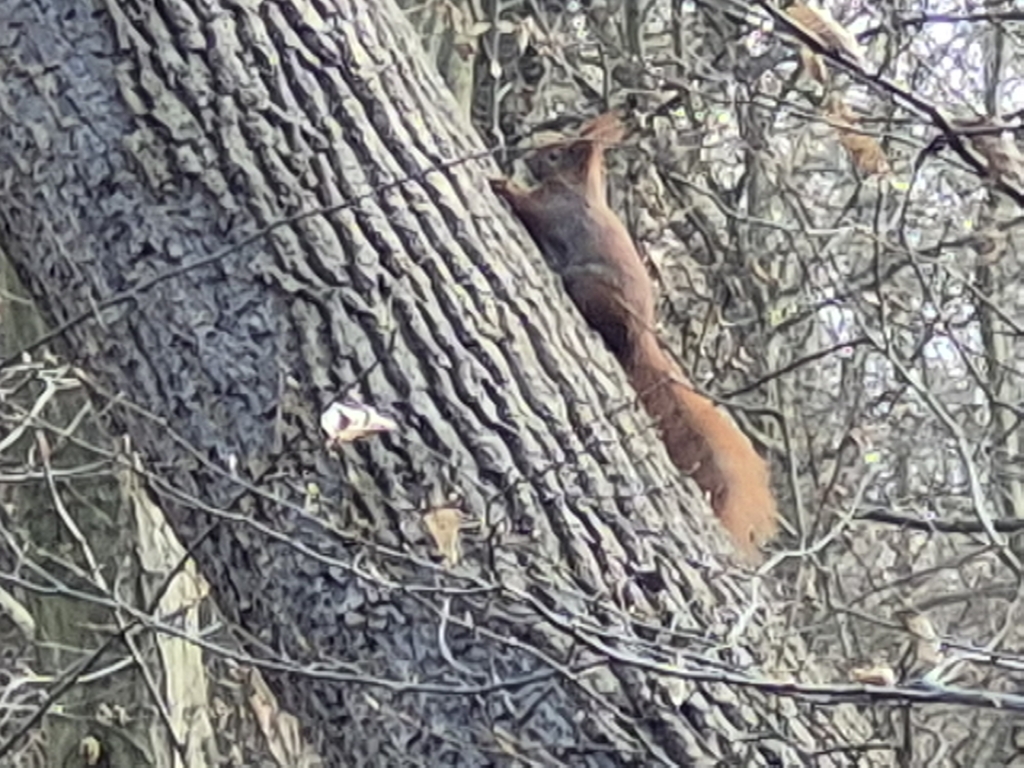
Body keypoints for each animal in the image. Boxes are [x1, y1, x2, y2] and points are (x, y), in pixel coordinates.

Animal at [490, 113, 778, 559]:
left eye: (555, 153)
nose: (526, 154)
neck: (579, 190)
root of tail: (640, 341)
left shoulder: (554, 211)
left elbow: (529, 207)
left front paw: (502, 184)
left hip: (592, 289)